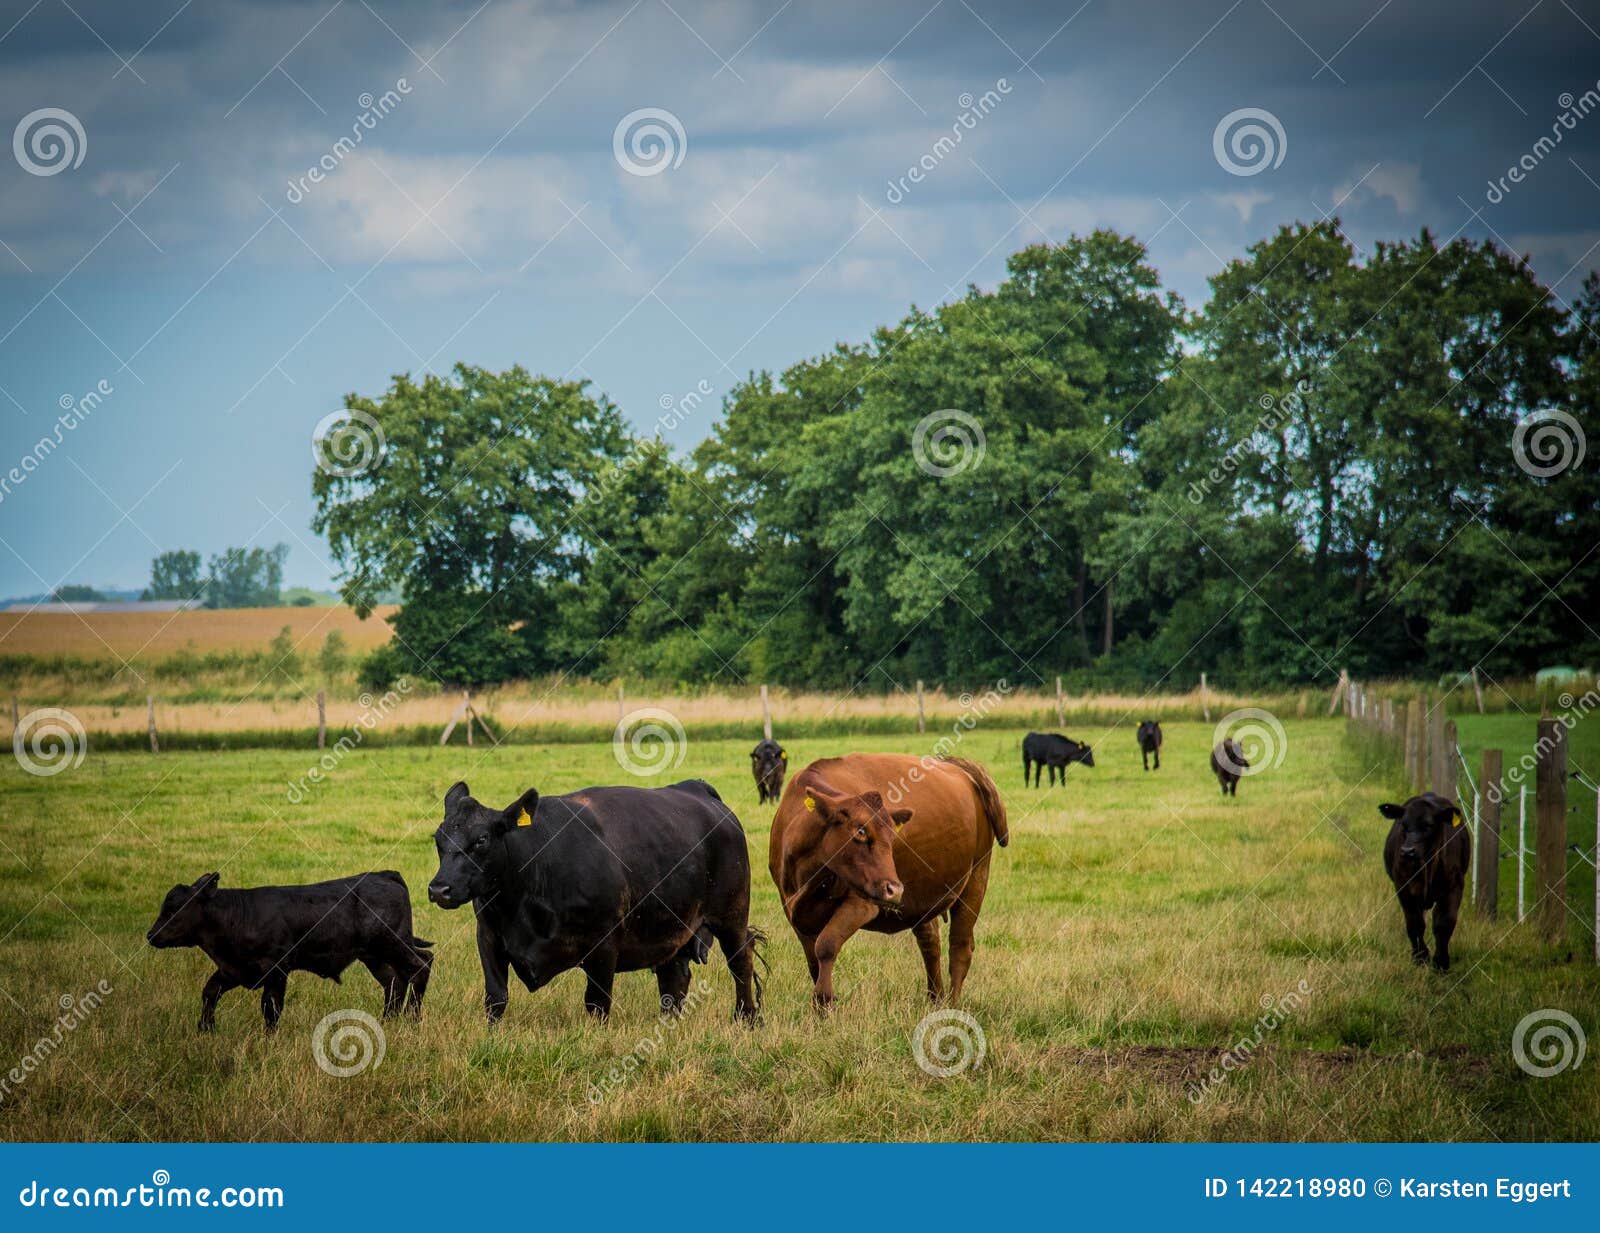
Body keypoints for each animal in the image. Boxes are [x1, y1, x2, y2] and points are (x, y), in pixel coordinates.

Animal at [146, 871, 432, 1032]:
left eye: (174, 910)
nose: (151, 935)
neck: (239, 916)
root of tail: (383, 875)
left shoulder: (276, 969)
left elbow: (270, 1007)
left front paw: (268, 1039)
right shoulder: (233, 970)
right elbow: (210, 992)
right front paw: (206, 1029)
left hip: (393, 943)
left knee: (422, 964)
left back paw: (412, 1020)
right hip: (375, 955)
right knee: (395, 981)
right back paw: (387, 1022)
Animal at [428, 779, 761, 1023]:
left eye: (481, 840)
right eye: (438, 839)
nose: (439, 889)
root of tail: (696, 789)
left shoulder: (604, 943)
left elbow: (597, 1002)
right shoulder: (489, 936)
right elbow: (496, 997)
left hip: (732, 915)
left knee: (740, 962)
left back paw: (746, 1018)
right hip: (672, 925)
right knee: (674, 977)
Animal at [769, 753, 1008, 1009]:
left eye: (892, 837)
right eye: (860, 832)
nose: (894, 889)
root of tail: (955, 767)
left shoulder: (861, 904)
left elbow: (826, 945)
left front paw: (824, 1000)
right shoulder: (793, 910)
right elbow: (813, 959)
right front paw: (824, 1004)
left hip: (975, 881)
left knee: (960, 947)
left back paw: (951, 1004)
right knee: (930, 942)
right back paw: (935, 998)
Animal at [1381, 792, 1471, 971]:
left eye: (1429, 825)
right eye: (1403, 825)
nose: (1407, 851)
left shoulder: (1455, 886)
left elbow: (1444, 923)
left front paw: (1441, 962)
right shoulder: (1403, 887)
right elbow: (1415, 923)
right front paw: (1420, 957)